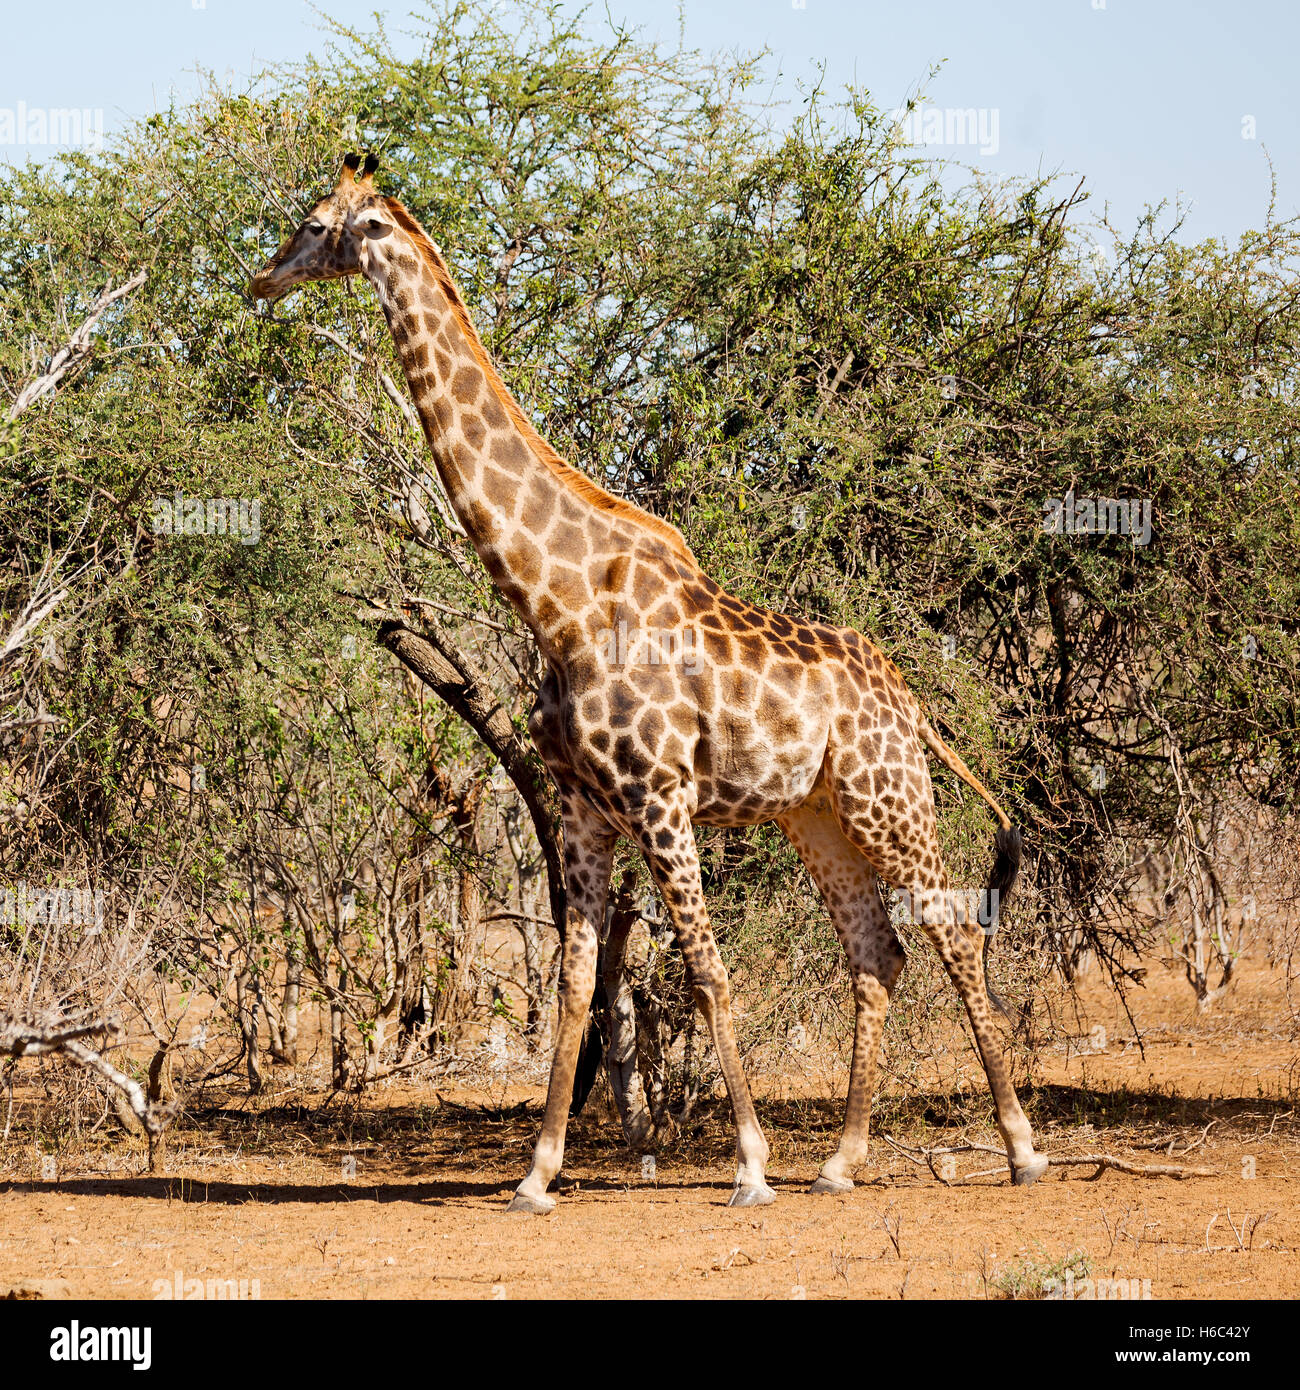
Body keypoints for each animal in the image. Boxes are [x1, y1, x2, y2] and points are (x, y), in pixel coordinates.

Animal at [251, 154, 1049, 1211]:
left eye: (313, 224)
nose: (260, 281)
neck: (557, 601)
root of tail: (910, 700)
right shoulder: (585, 808)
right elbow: (577, 985)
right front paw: (537, 1173)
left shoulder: (659, 798)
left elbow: (707, 972)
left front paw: (749, 1165)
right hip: (817, 815)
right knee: (879, 953)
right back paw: (841, 1160)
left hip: (888, 797)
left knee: (954, 933)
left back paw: (1021, 1147)